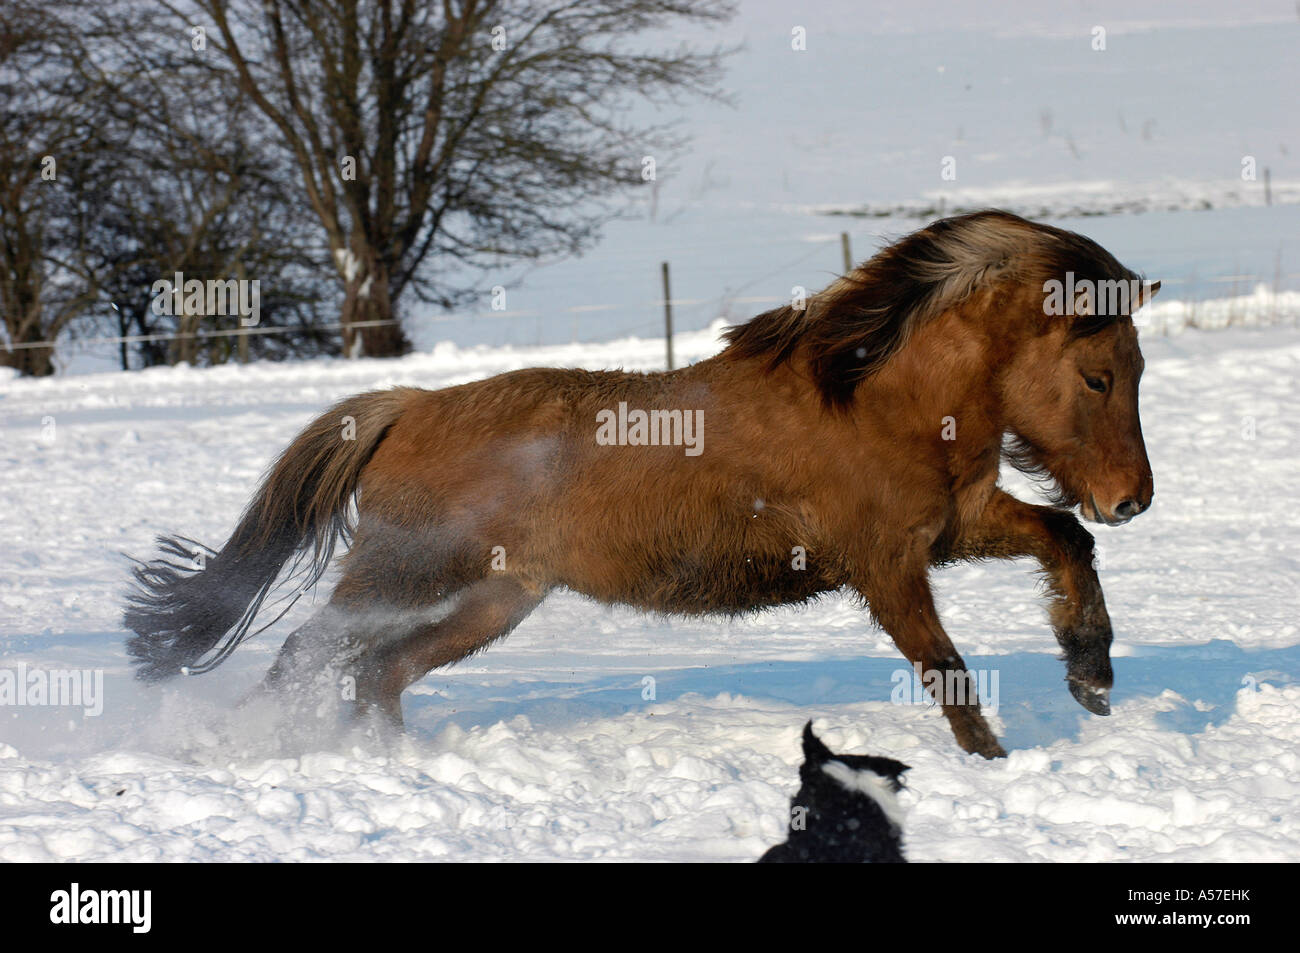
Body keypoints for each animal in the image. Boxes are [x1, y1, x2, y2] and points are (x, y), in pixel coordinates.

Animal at [124, 209, 1159, 759]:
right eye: (1097, 376)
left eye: (1136, 369)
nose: (1132, 498)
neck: (874, 397)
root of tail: (406, 409)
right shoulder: (887, 566)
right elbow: (947, 671)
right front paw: (996, 764)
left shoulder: (956, 526)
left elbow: (1066, 542)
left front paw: (1092, 674)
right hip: (405, 573)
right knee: (311, 648)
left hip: (493, 599)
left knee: (375, 670)